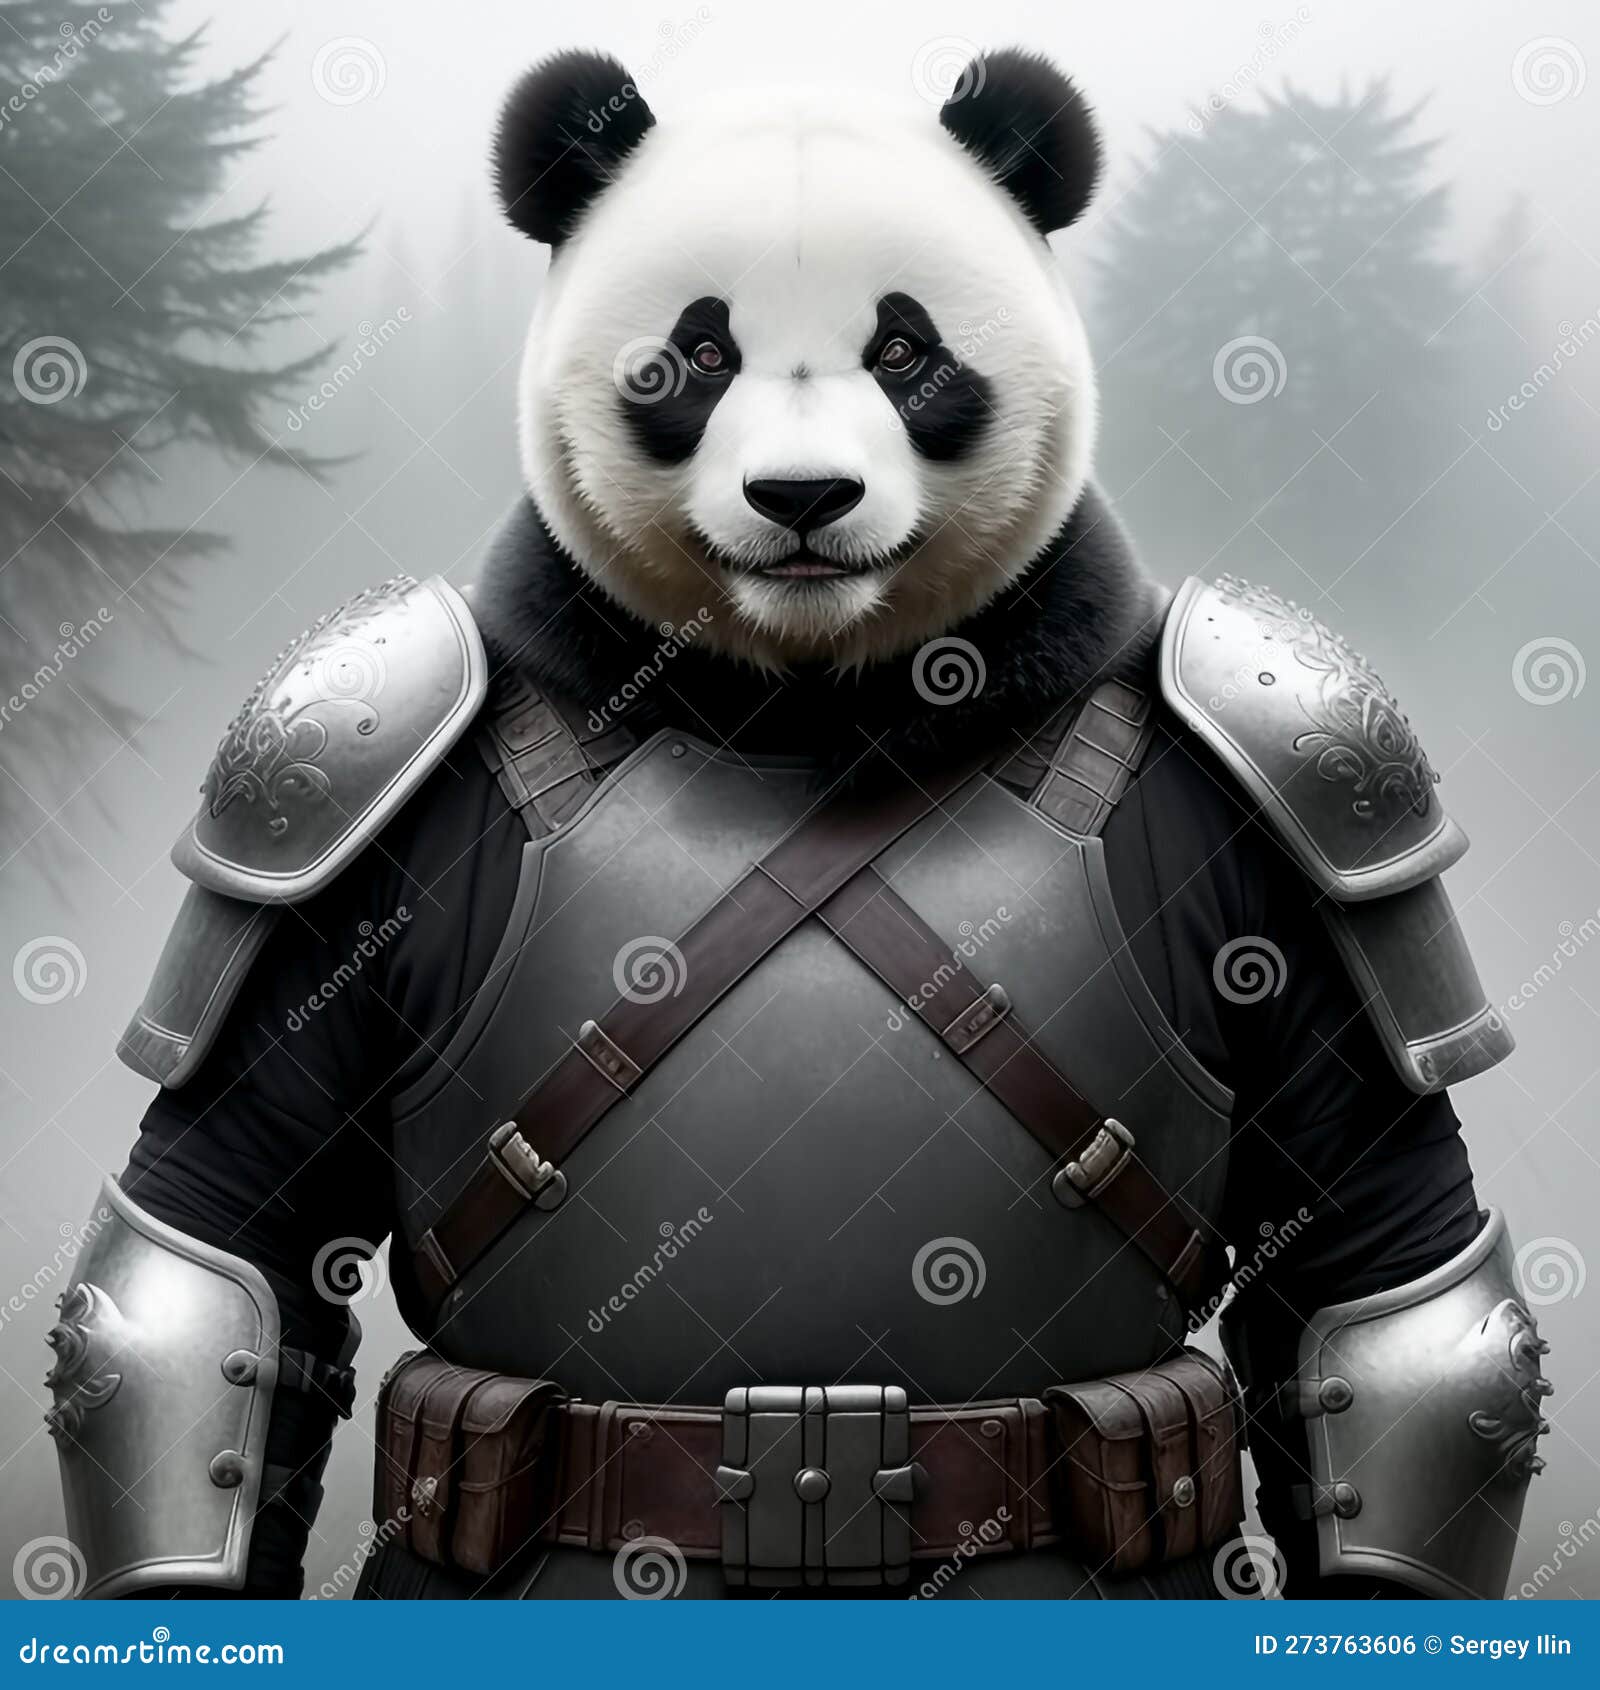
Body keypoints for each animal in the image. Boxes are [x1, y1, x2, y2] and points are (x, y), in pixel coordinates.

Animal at [54, 47, 1541, 1605]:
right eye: (695, 357)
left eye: (906, 351)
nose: (806, 498)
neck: (810, 705)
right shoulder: (328, 806)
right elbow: (234, 1221)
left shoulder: (1297, 823)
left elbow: (1372, 1248)